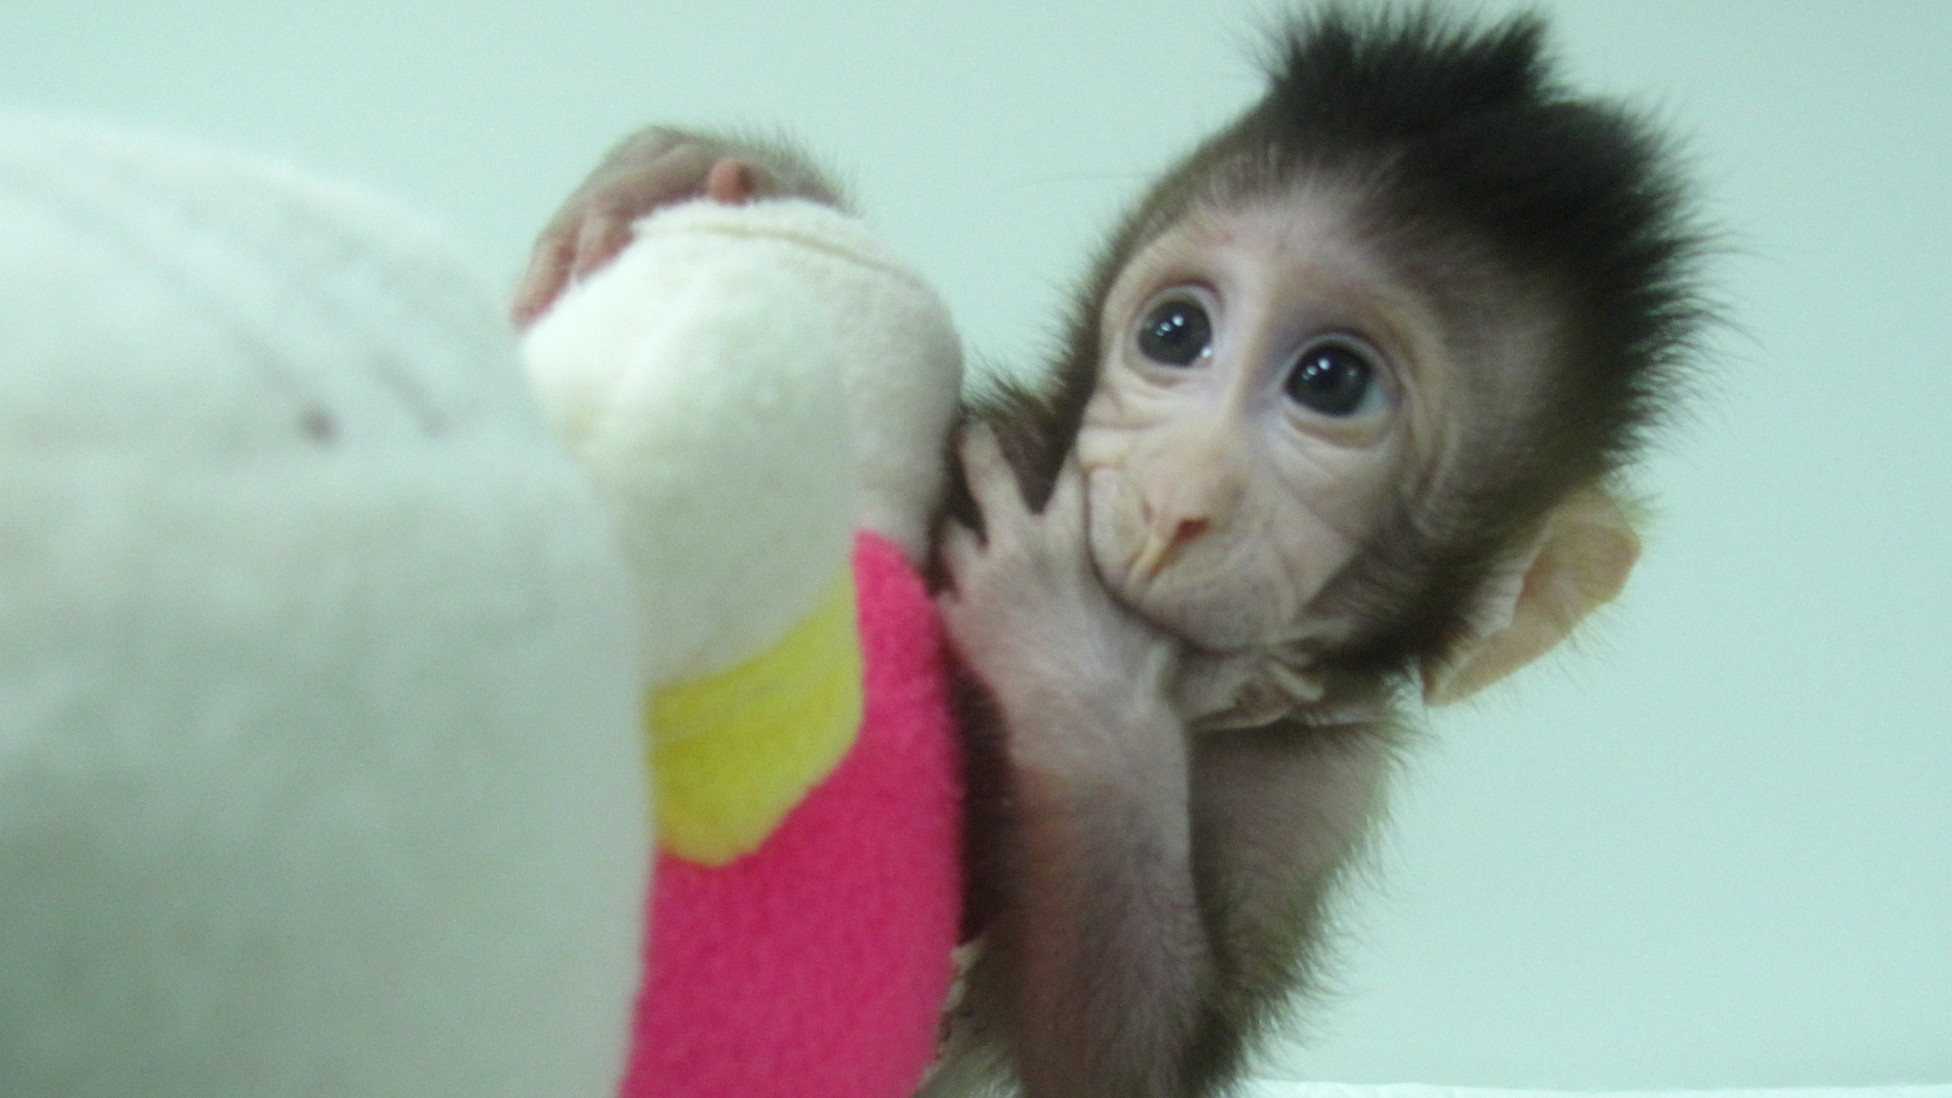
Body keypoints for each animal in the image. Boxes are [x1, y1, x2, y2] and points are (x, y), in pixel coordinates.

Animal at [512, 6, 1710, 1096]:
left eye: (1331, 383)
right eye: (1175, 333)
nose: (1176, 499)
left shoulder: (1321, 783)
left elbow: (1114, 1066)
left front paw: (1075, 664)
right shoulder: (1004, 446)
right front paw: (690, 169)